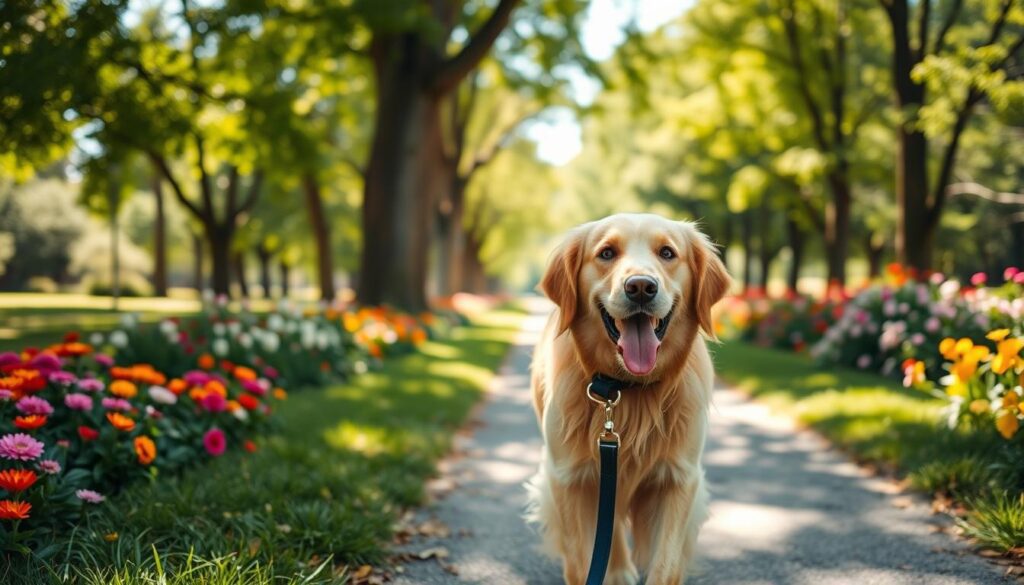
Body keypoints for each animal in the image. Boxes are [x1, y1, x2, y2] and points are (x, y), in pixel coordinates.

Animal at [524, 214, 733, 585]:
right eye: (607, 253)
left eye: (667, 252)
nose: (640, 287)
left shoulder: (678, 478)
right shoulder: (568, 478)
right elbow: (581, 561)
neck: (627, 390)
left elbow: (665, 566)